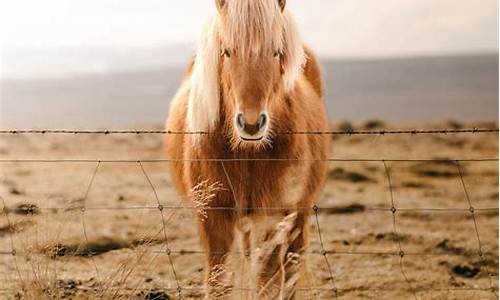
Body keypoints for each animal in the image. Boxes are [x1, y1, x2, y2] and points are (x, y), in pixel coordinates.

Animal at [165, 0, 332, 298]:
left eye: (276, 52)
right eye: (227, 51)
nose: (252, 124)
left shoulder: (273, 217)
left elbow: (269, 282)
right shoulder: (213, 217)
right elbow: (218, 283)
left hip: (297, 216)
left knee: (292, 267)